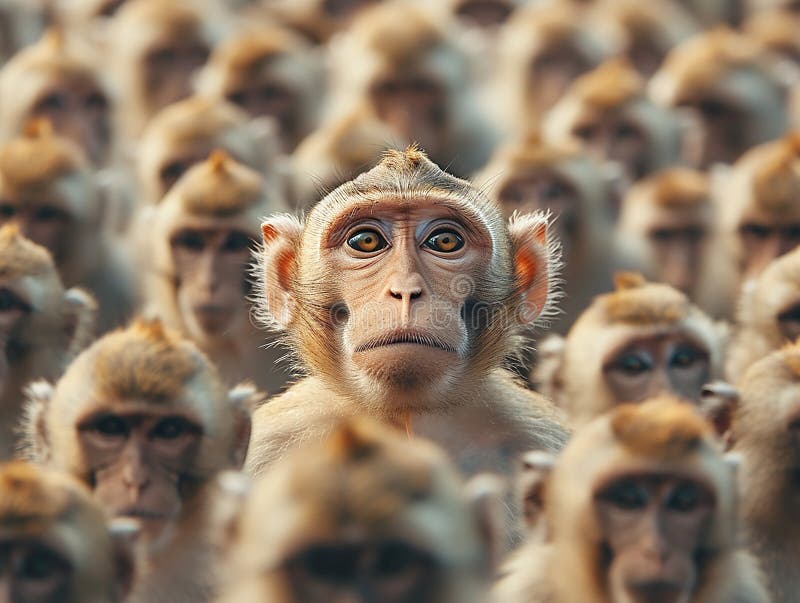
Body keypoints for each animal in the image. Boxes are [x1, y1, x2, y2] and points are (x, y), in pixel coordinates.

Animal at [246, 147, 568, 482]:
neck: (406, 415)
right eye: (366, 241)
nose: (405, 290)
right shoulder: (270, 440)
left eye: (445, 241)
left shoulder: (541, 434)